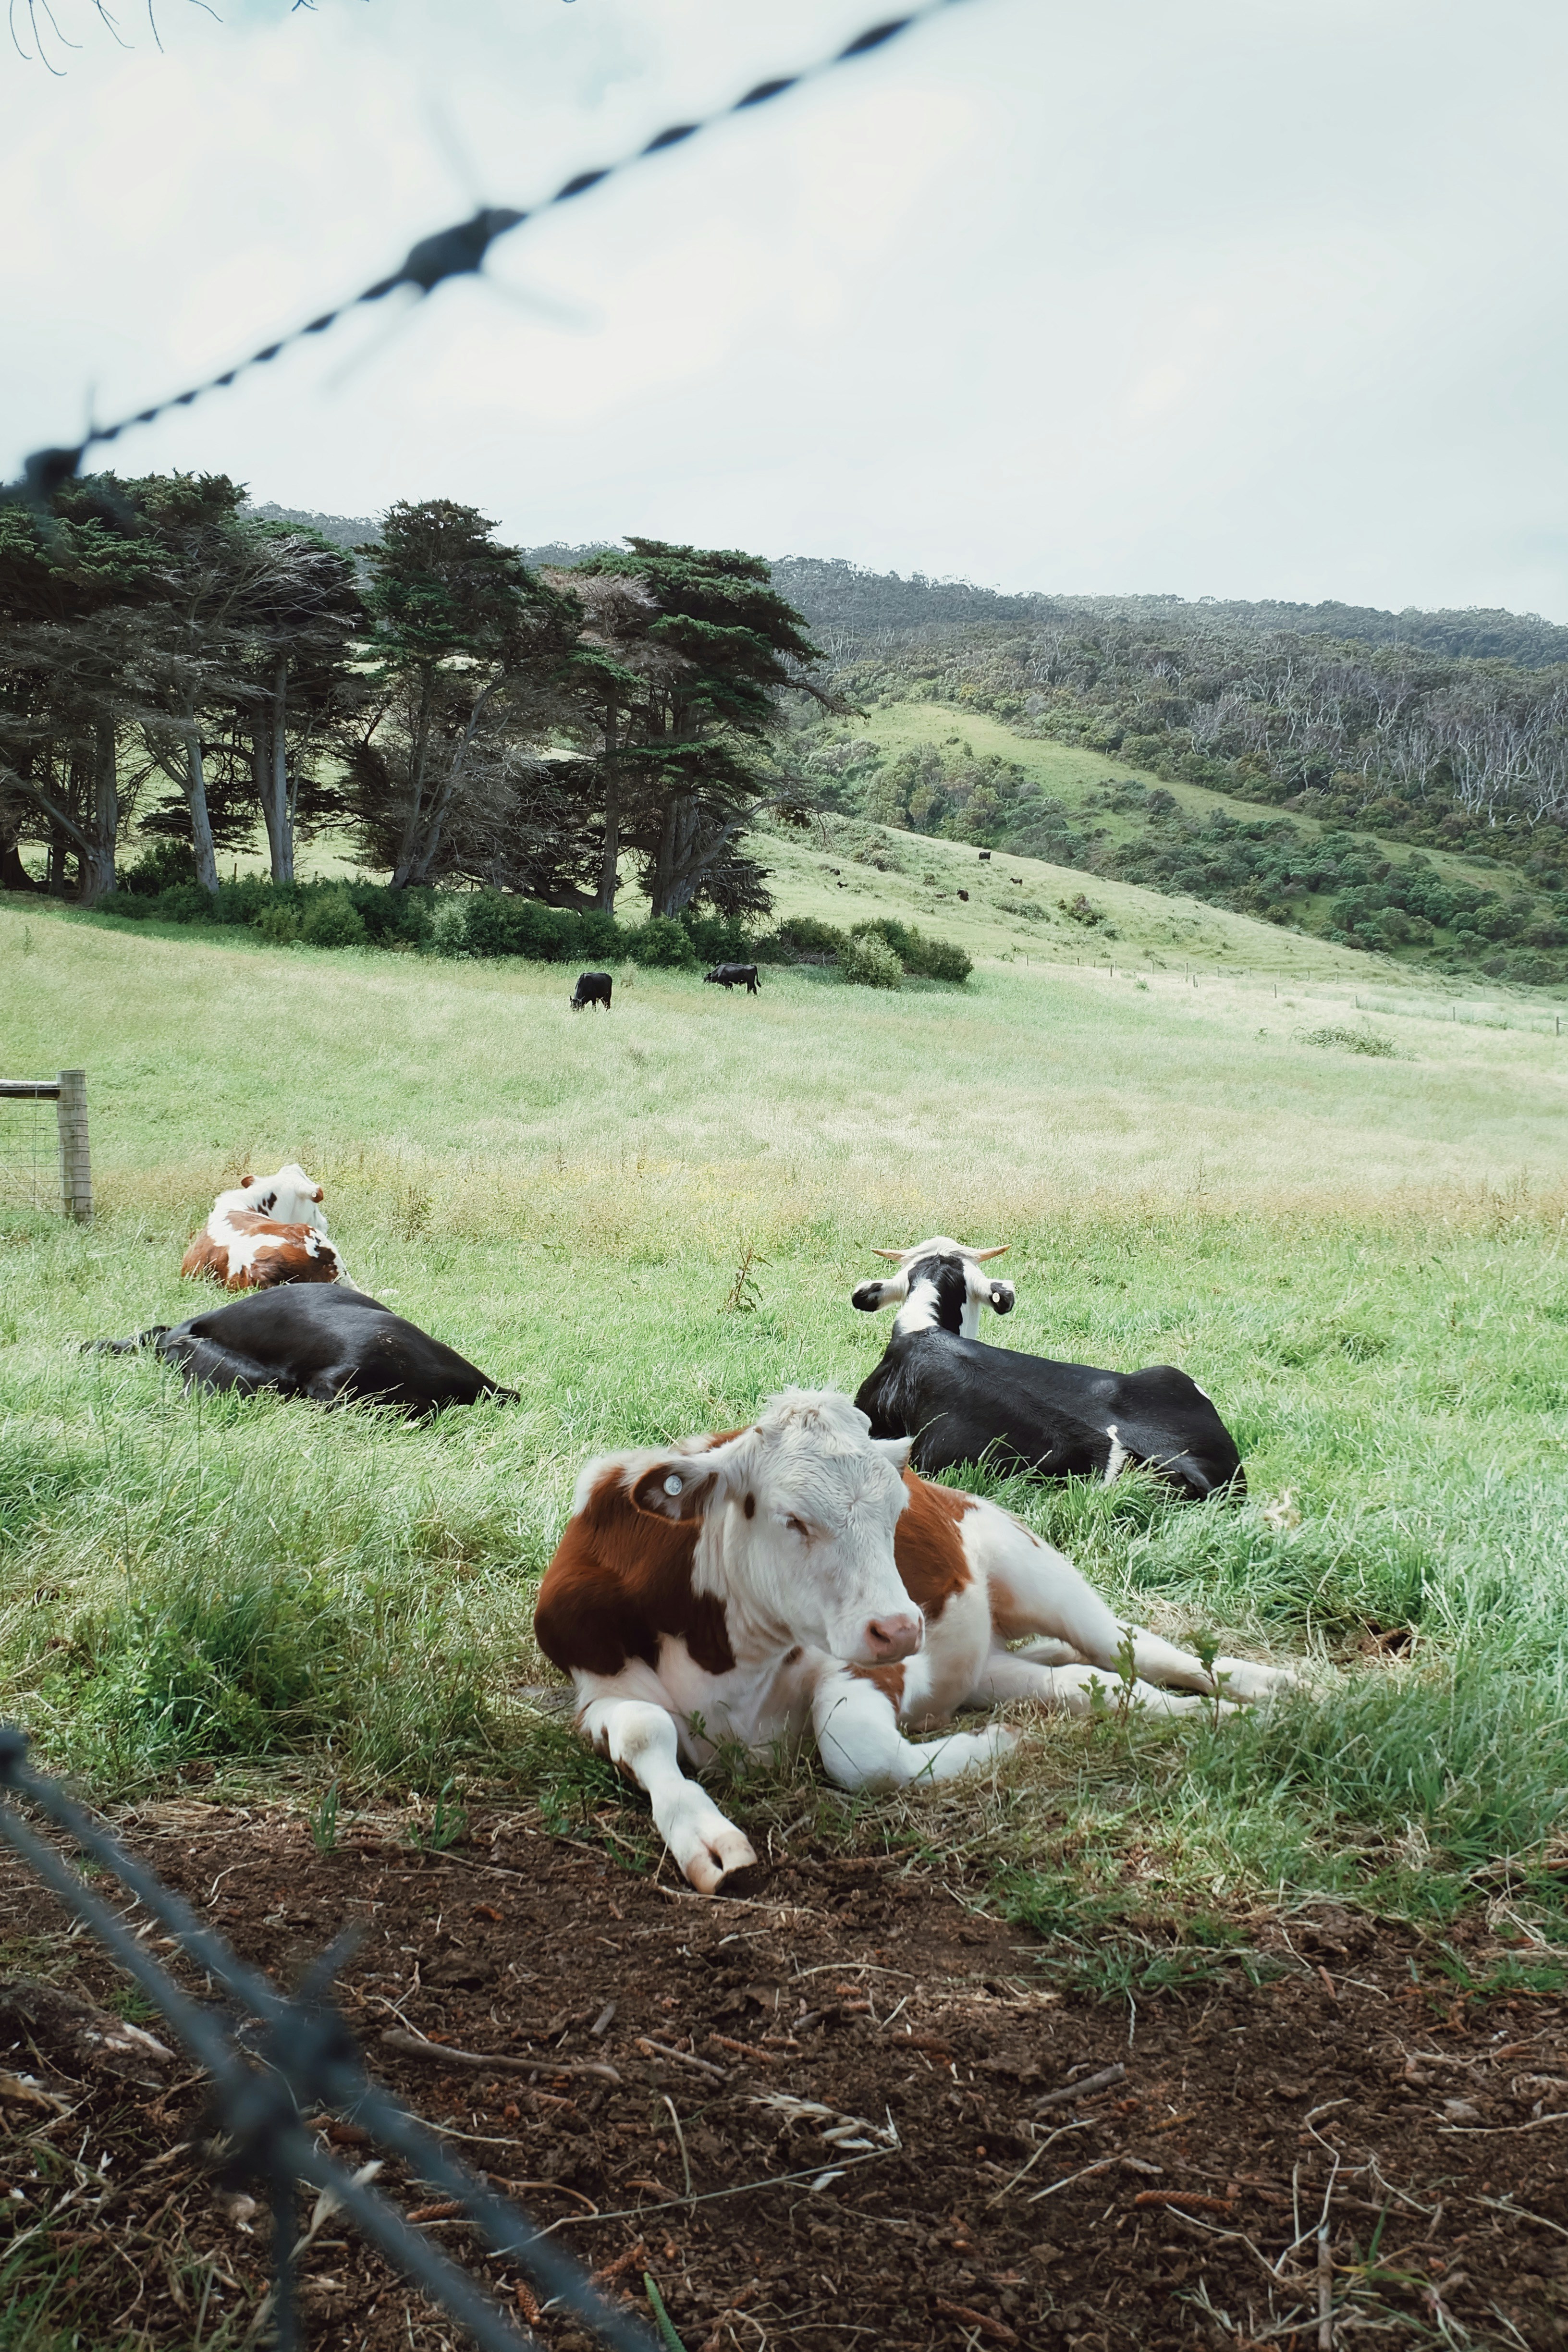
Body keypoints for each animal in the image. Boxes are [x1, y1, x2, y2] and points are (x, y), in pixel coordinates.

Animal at [533, 1388, 1293, 1894]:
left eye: (897, 1512)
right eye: (791, 1519)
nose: (902, 1627)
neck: (726, 1662)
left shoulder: (874, 1668)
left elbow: (860, 1755)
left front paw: (995, 1745)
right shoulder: (597, 1690)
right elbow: (644, 1731)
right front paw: (705, 1836)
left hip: (1036, 1569)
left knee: (1135, 1650)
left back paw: (1270, 1689)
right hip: (992, 1666)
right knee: (1089, 1685)